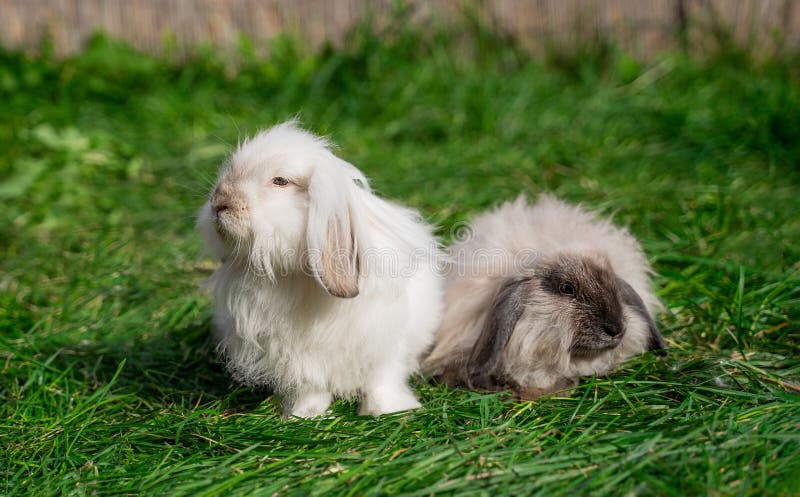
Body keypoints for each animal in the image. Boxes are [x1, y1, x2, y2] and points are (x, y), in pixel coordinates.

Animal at [196, 121, 444, 417]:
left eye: (280, 181)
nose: (219, 202)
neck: (295, 276)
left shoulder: (386, 346)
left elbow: (382, 382)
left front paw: (389, 412)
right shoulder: (298, 358)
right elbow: (310, 388)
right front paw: (302, 416)